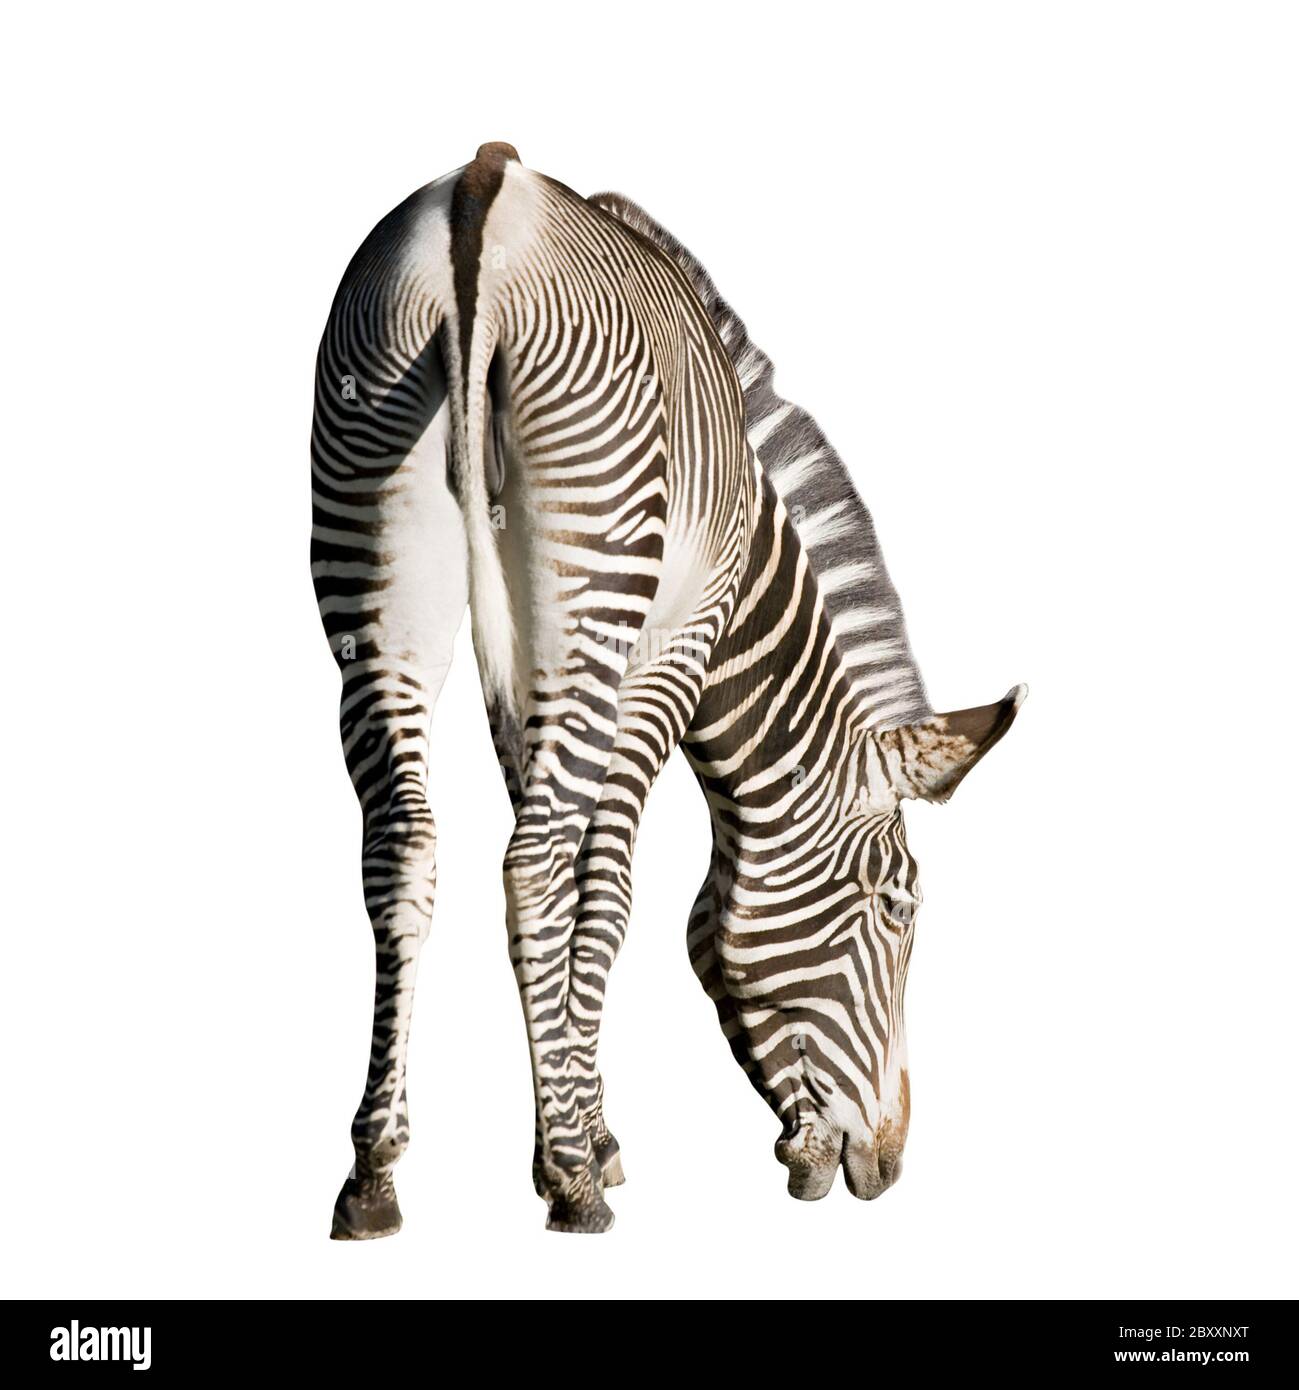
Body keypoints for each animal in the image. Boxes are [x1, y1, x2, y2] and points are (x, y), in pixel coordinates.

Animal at [311, 144, 1023, 1236]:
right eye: (899, 904)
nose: (889, 1164)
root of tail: (483, 192)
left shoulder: (529, 664)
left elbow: (561, 863)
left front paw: (568, 1117)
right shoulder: (670, 652)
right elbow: (603, 886)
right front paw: (579, 1148)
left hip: (372, 531)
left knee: (405, 845)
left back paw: (373, 1177)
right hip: (594, 571)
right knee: (528, 863)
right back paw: (570, 1186)